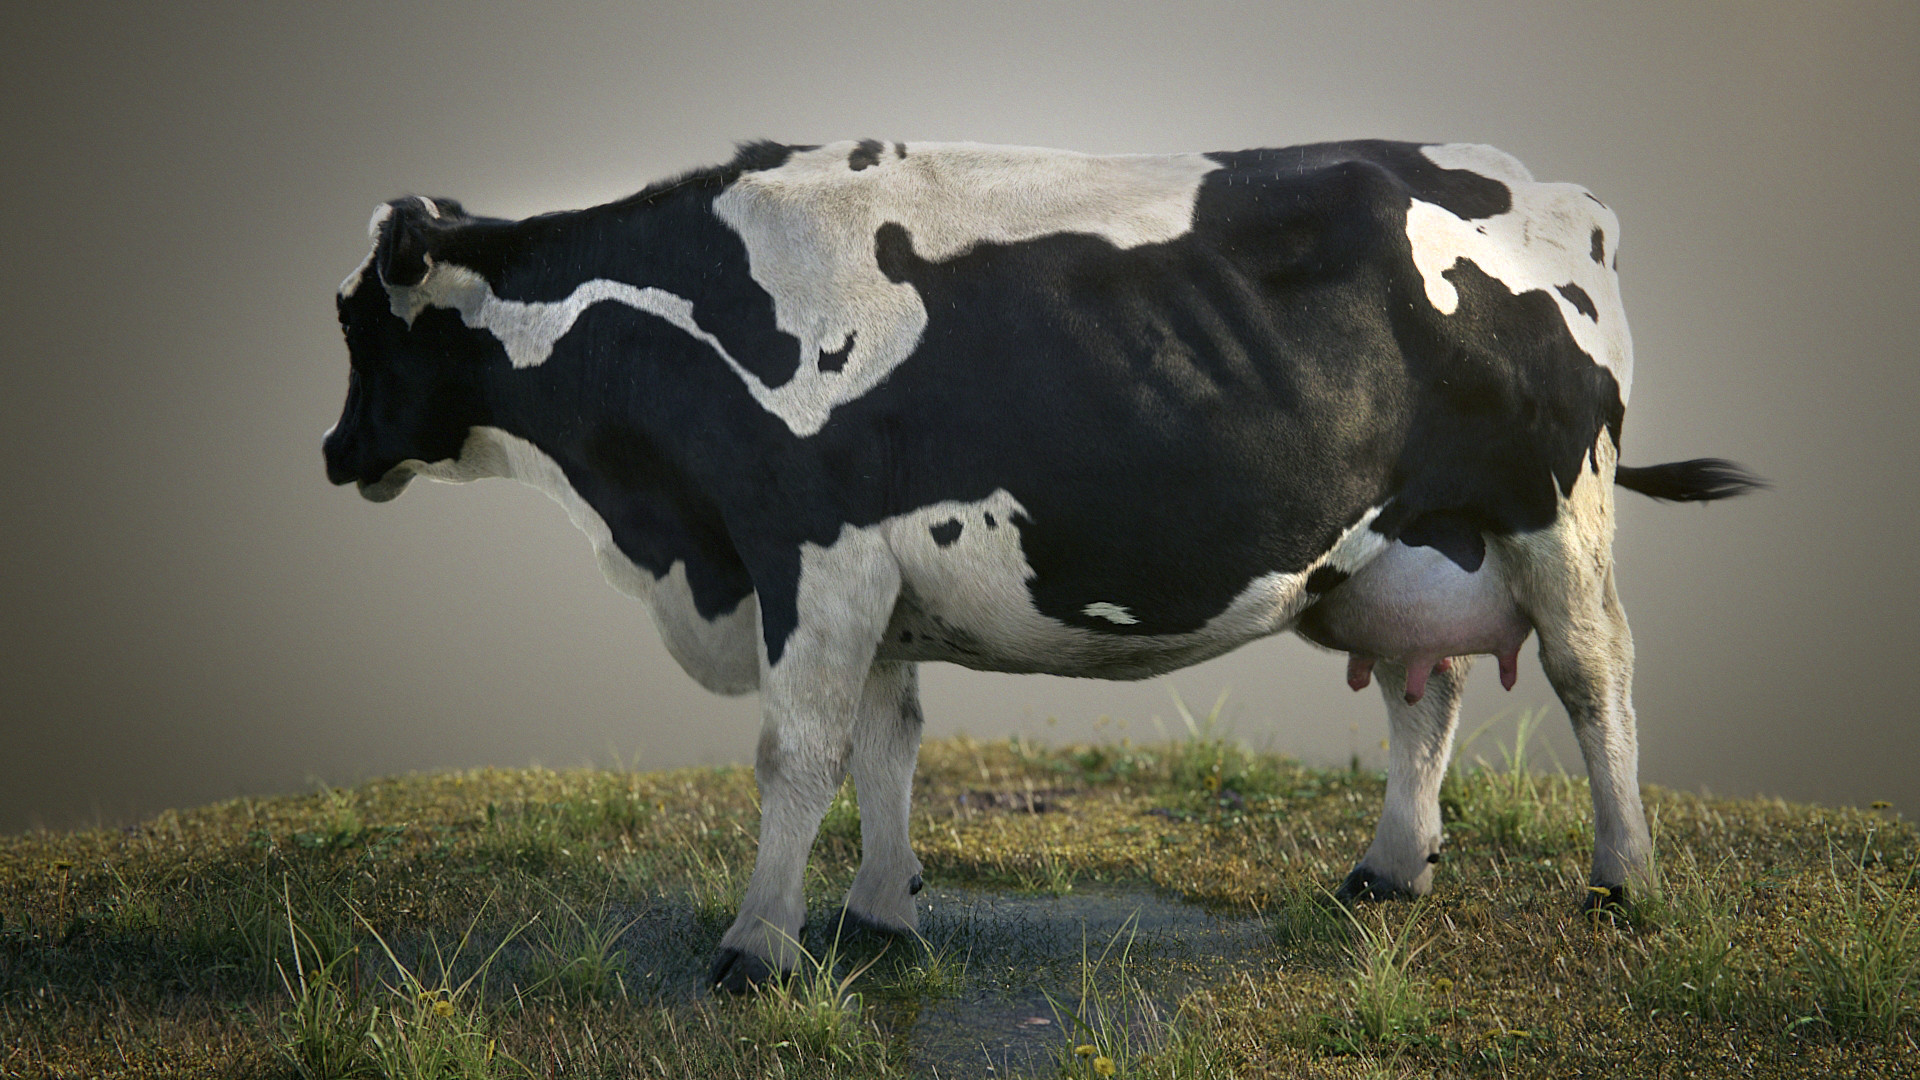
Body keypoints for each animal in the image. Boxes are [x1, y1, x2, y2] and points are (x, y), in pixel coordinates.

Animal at [323, 138, 1760, 991]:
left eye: (358, 322)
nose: (335, 453)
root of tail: (1555, 190)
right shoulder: (874, 581)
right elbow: (885, 742)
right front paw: (879, 916)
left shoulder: (811, 547)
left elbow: (797, 754)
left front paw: (755, 948)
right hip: (1408, 534)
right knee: (1429, 687)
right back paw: (1389, 868)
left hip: (1551, 506)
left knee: (1592, 674)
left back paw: (1625, 880)